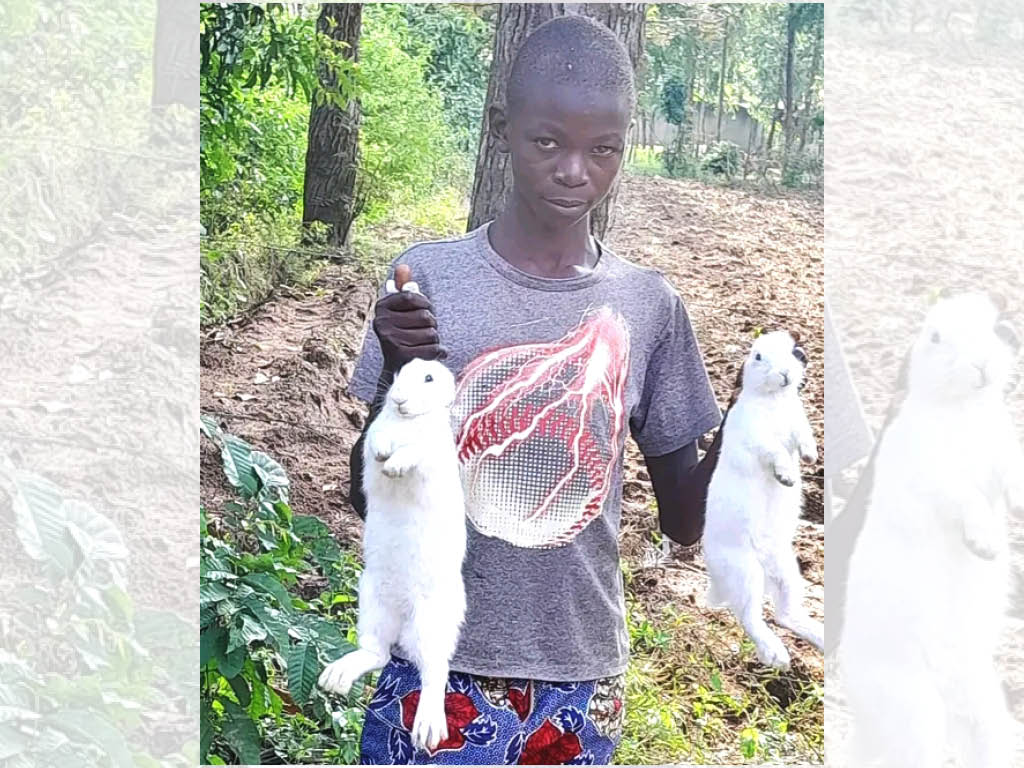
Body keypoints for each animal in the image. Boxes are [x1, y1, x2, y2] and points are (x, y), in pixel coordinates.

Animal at [318, 357, 467, 753]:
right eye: (399, 373)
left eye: (429, 378)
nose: (398, 398)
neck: (408, 421)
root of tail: (403, 615)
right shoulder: (374, 433)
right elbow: (376, 441)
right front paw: (384, 454)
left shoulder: (431, 454)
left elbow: (415, 453)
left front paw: (395, 464)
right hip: (371, 603)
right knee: (379, 654)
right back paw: (336, 676)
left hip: (430, 622)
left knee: (434, 673)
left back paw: (427, 727)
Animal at [703, 330, 821, 671]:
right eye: (757, 356)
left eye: (793, 352)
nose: (784, 374)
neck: (773, 399)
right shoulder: (758, 438)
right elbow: (776, 452)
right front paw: (787, 477)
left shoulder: (798, 425)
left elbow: (804, 438)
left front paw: (809, 457)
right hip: (746, 573)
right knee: (751, 617)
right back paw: (776, 656)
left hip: (788, 572)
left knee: (786, 615)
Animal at [838, 292, 1023, 768]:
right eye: (936, 336)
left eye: (992, 328)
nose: (981, 365)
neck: (961, 407)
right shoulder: (936, 475)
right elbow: (966, 500)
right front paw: (985, 546)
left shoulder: (1002, 455)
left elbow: (1009, 480)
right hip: (916, 710)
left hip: (984, 708)